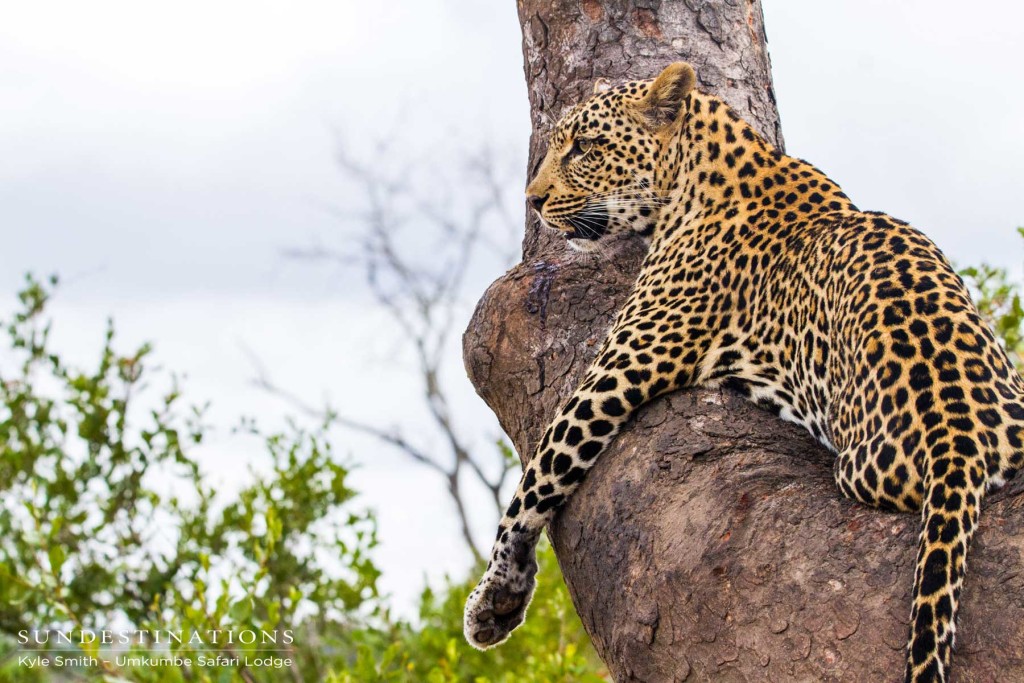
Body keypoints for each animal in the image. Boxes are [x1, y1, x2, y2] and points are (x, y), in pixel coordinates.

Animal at [463, 62, 1024, 683]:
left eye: (584, 146)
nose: (533, 199)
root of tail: (960, 442)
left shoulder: (622, 363)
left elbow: (532, 484)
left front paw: (494, 601)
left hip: (855, 466)